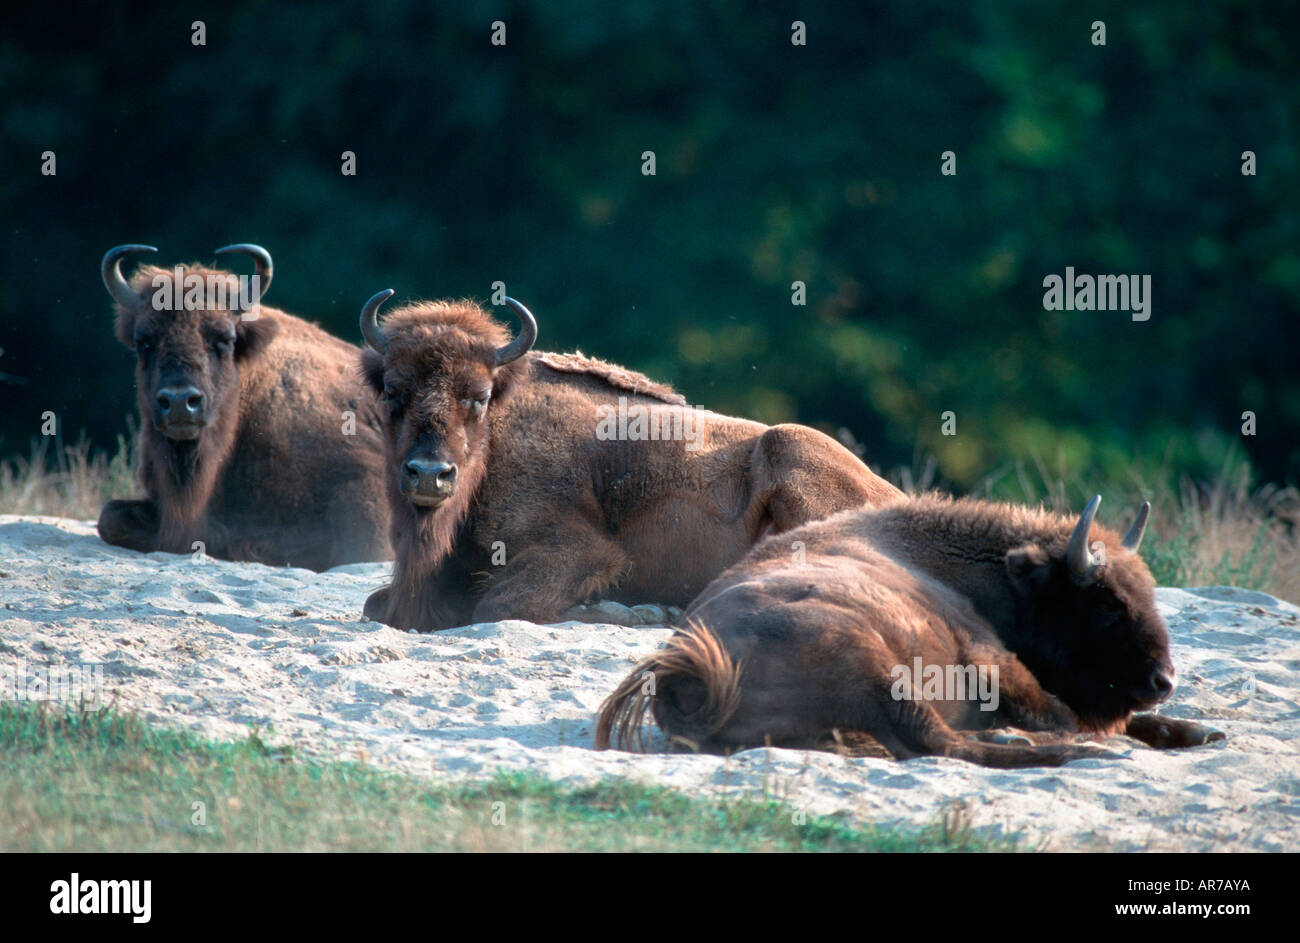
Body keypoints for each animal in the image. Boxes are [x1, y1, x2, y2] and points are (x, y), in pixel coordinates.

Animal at [356, 290, 902, 631]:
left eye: (480, 396)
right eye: (393, 390)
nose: (429, 475)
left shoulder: (578, 550)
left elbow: (501, 603)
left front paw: (642, 614)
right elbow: (375, 604)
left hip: (791, 447)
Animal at [597, 494, 1224, 767]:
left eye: (1148, 592)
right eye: (1107, 604)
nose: (1163, 680)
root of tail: (688, 679)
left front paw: (1200, 732)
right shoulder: (990, 659)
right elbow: (1064, 711)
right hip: (877, 664)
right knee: (943, 742)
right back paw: (1054, 749)